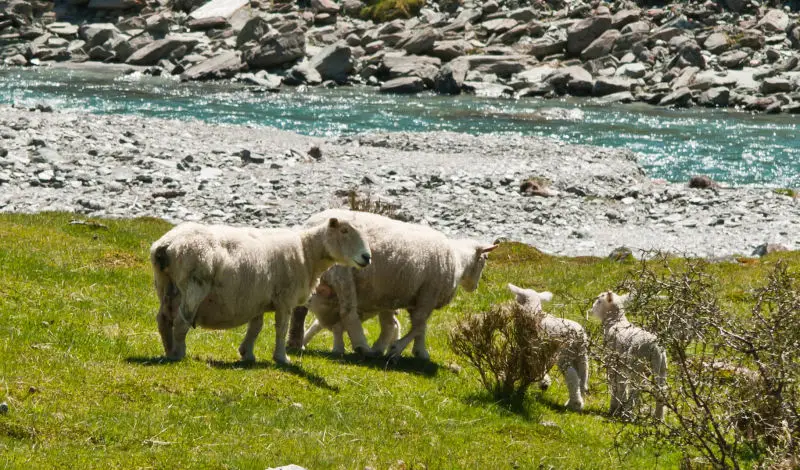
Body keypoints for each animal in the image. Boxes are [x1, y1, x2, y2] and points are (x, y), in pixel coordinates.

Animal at [149, 217, 372, 365]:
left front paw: (247, 354)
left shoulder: (257, 298)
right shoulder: (284, 299)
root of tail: (166, 245)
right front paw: (282, 358)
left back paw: (169, 350)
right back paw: (179, 354)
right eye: (344, 231)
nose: (367, 257)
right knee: (181, 321)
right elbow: (281, 329)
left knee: (163, 319)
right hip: (194, 285)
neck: (307, 252)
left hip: (165, 285)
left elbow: (255, 327)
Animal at [288, 209, 497, 360]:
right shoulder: (428, 295)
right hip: (343, 275)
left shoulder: (393, 296)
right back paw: (362, 347)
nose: (474, 287)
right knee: (348, 313)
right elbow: (420, 325)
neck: (458, 261)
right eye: (485, 259)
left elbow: (401, 325)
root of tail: (309, 225)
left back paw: (296, 343)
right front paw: (398, 349)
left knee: (300, 310)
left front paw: (413, 351)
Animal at [591, 291, 667, 419]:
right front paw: (618, 407)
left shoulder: (612, 362)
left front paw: (614, 408)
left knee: (636, 389)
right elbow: (621, 384)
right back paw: (658, 417)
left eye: (599, 301)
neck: (615, 321)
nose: (591, 310)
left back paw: (628, 414)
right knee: (661, 390)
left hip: (637, 366)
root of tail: (655, 347)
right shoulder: (621, 366)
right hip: (662, 366)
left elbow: (616, 384)